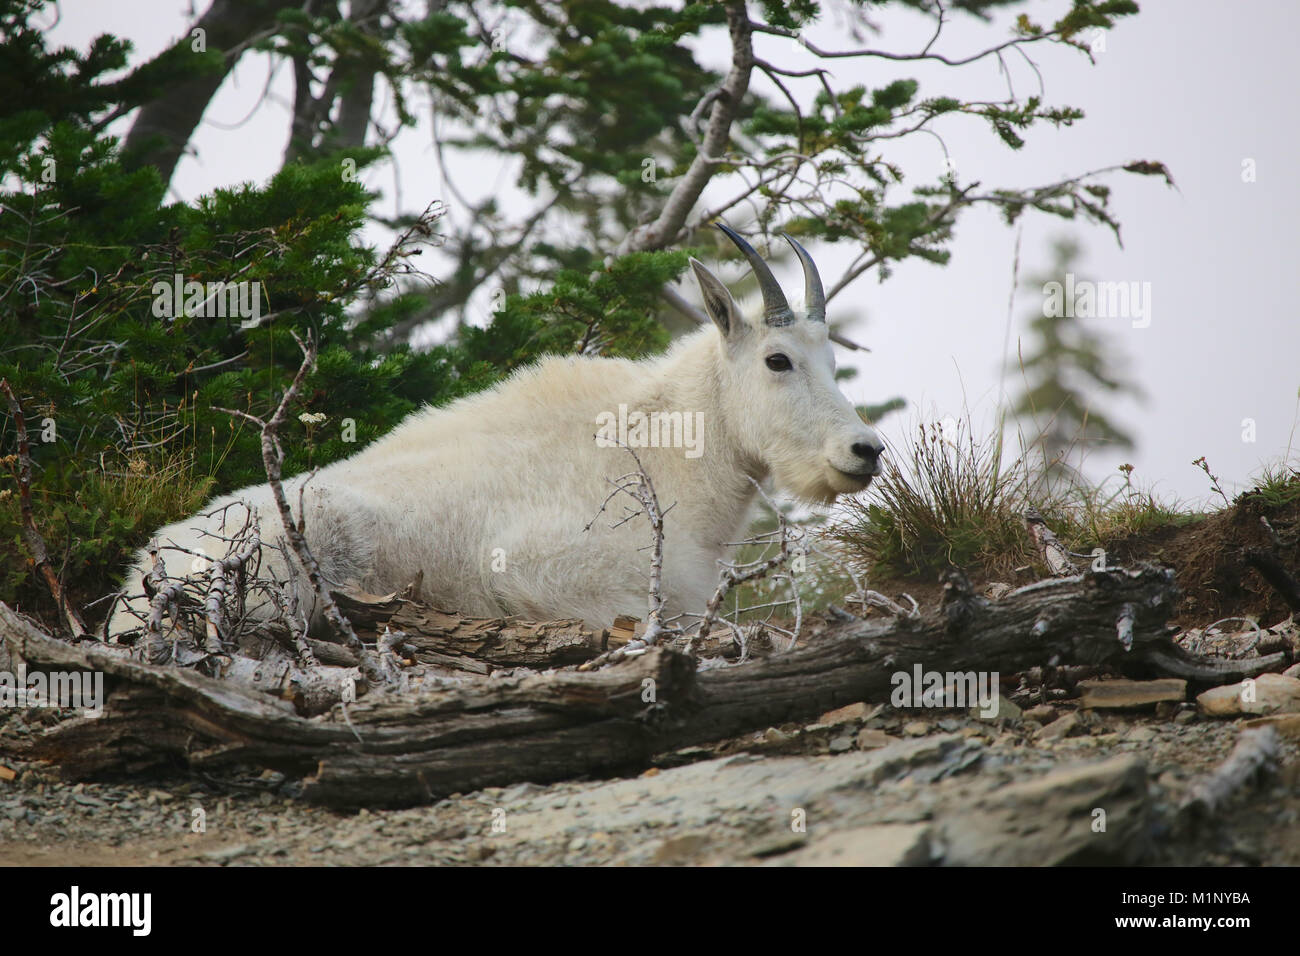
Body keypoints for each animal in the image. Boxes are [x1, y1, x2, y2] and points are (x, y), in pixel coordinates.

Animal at [108, 225, 884, 637]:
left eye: (833, 361)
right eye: (778, 359)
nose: (865, 451)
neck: (668, 456)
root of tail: (130, 593)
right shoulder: (552, 573)